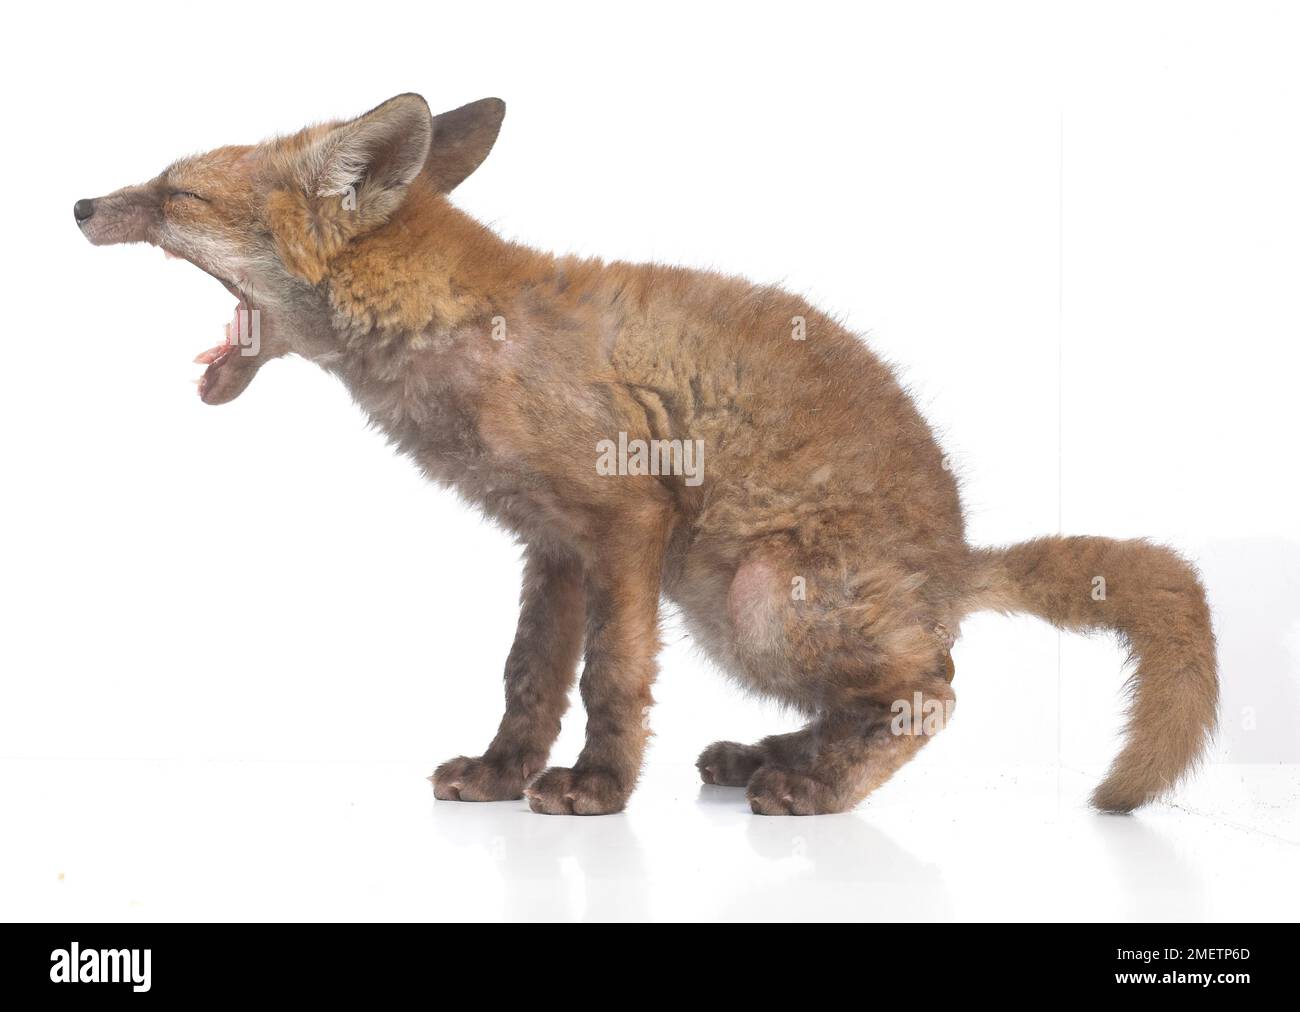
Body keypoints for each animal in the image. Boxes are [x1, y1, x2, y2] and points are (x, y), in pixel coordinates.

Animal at [75, 93, 1218, 816]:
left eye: (175, 192)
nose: (79, 204)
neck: (462, 336)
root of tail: (955, 560)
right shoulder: (551, 545)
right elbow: (529, 676)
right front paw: (502, 775)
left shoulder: (625, 519)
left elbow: (610, 677)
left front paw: (597, 789)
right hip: (728, 614)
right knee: (866, 699)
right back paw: (773, 754)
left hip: (761, 597)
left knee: (928, 689)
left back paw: (817, 785)